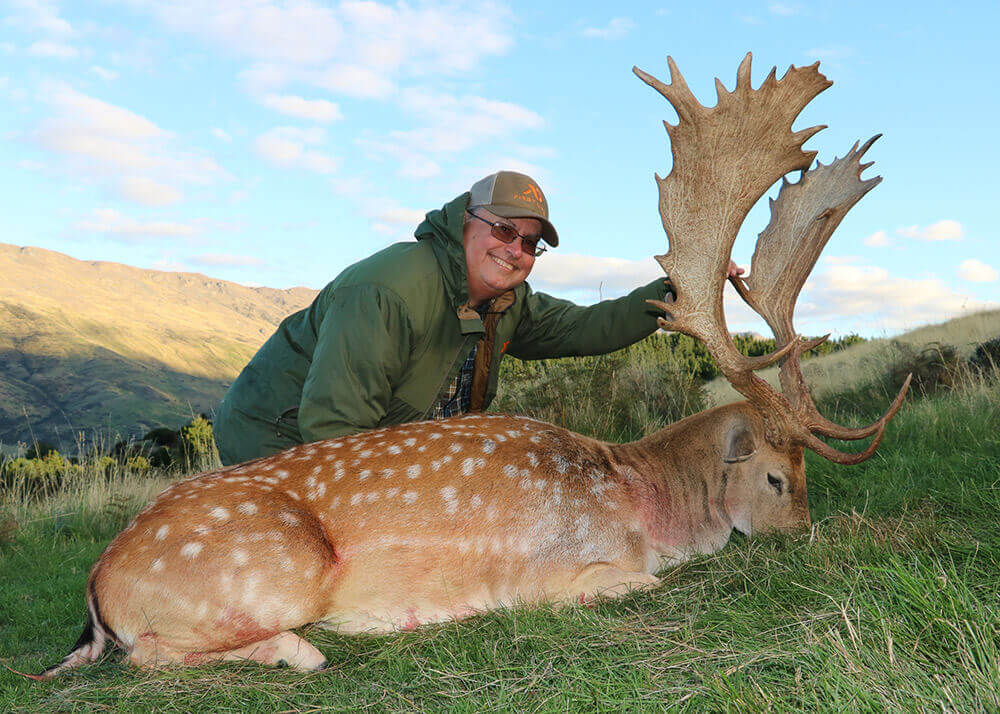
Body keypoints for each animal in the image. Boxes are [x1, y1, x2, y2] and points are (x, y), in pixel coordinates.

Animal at [33, 54, 910, 677]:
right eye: (775, 477)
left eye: (808, 475)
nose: (801, 539)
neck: (638, 498)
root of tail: (98, 582)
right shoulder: (563, 571)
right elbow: (637, 583)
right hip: (269, 570)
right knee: (152, 653)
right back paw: (307, 645)